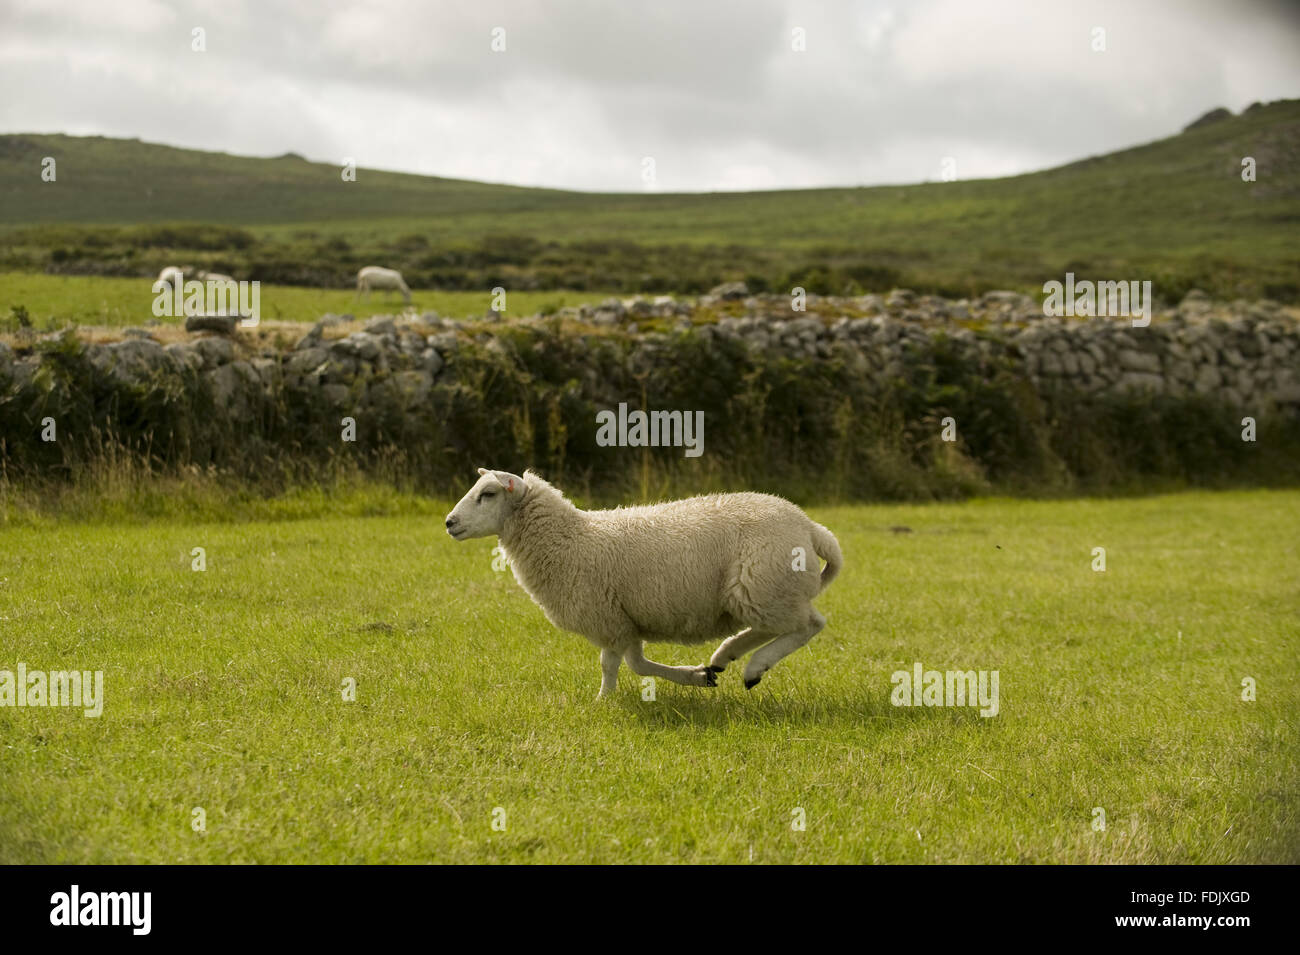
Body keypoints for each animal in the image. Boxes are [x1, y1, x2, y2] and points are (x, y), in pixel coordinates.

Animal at [445, 468, 842, 697]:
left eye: (488, 494)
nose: (449, 522)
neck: (570, 540)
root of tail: (810, 527)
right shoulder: (624, 621)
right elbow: (637, 664)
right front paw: (697, 677)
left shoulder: (608, 620)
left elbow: (614, 666)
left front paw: (602, 702)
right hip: (759, 592)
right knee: (774, 626)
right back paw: (723, 657)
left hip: (765, 585)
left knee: (809, 624)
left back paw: (754, 667)